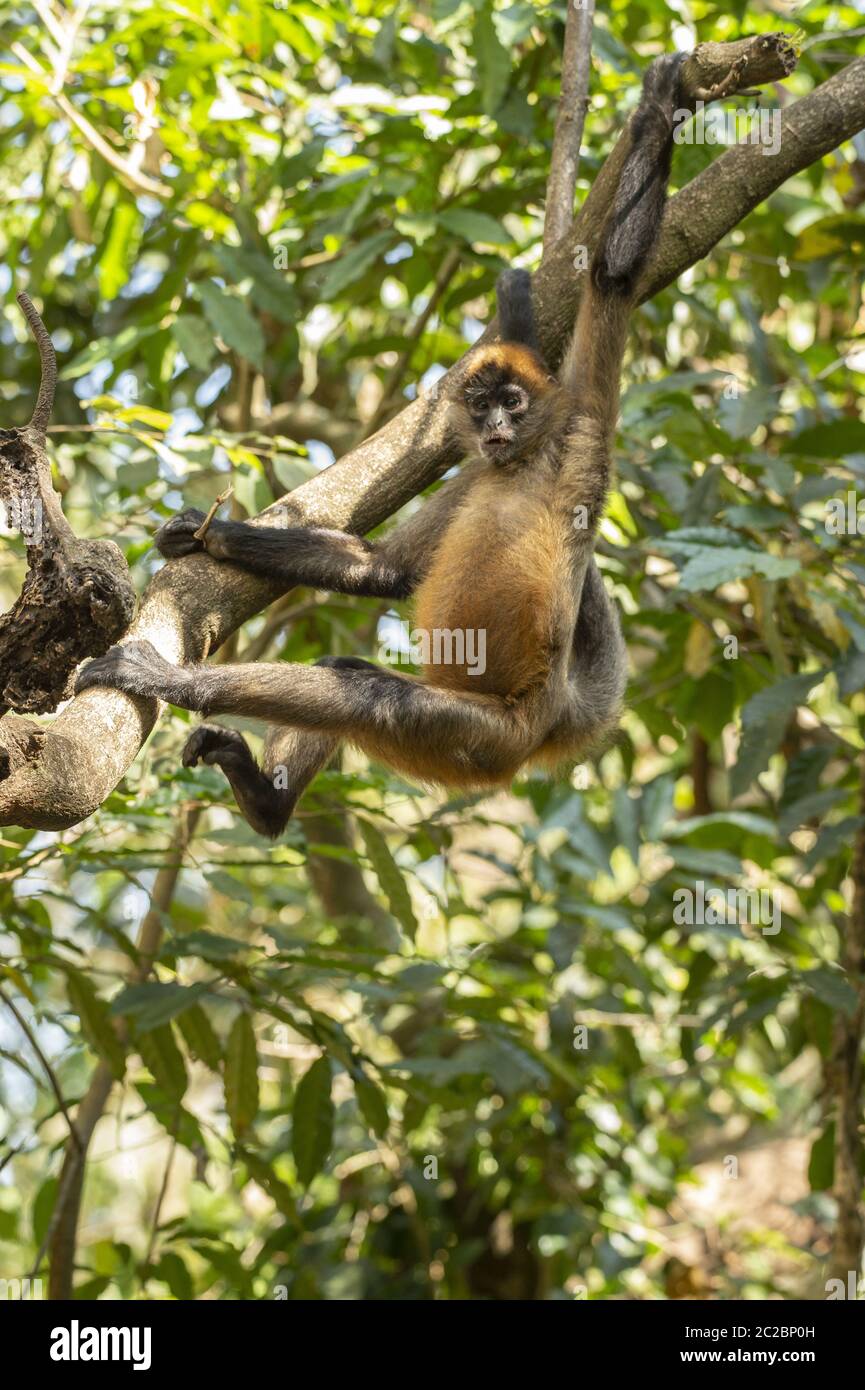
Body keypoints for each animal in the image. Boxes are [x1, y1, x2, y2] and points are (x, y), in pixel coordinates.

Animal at [76, 53, 685, 839]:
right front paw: (207, 535)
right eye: (481, 404)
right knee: (347, 673)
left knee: (365, 697)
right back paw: (268, 801)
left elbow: (612, 278)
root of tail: (541, 727)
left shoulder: (577, 431)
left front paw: (659, 105)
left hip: (474, 733)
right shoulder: (473, 477)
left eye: (512, 403)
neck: (521, 465)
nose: (494, 426)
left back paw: (181, 697)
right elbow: (387, 570)